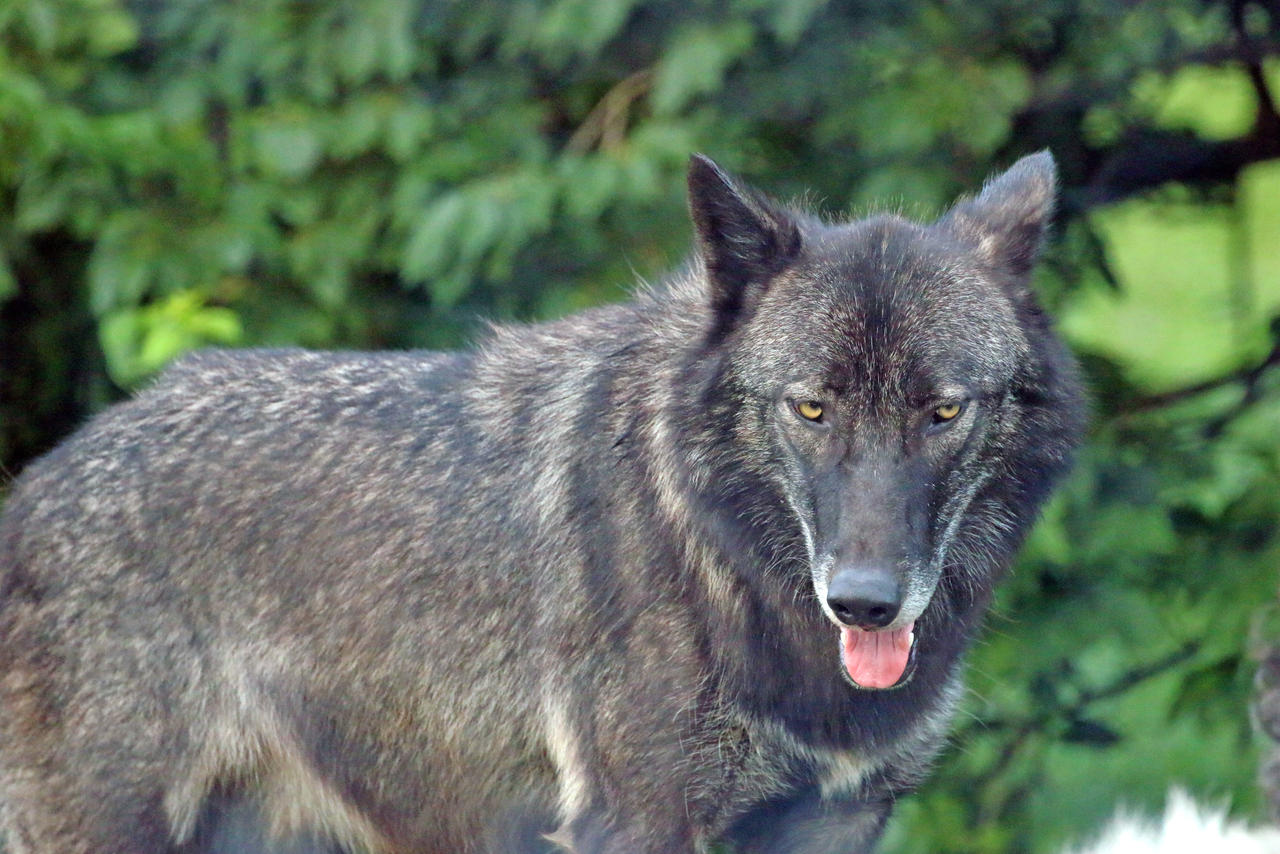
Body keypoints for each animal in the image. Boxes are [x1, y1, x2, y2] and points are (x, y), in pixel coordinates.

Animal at [0, 152, 1083, 854]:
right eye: (810, 406)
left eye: (942, 409)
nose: (862, 600)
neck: (727, 564)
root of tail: (36, 483)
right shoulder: (634, 820)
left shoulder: (838, 822)